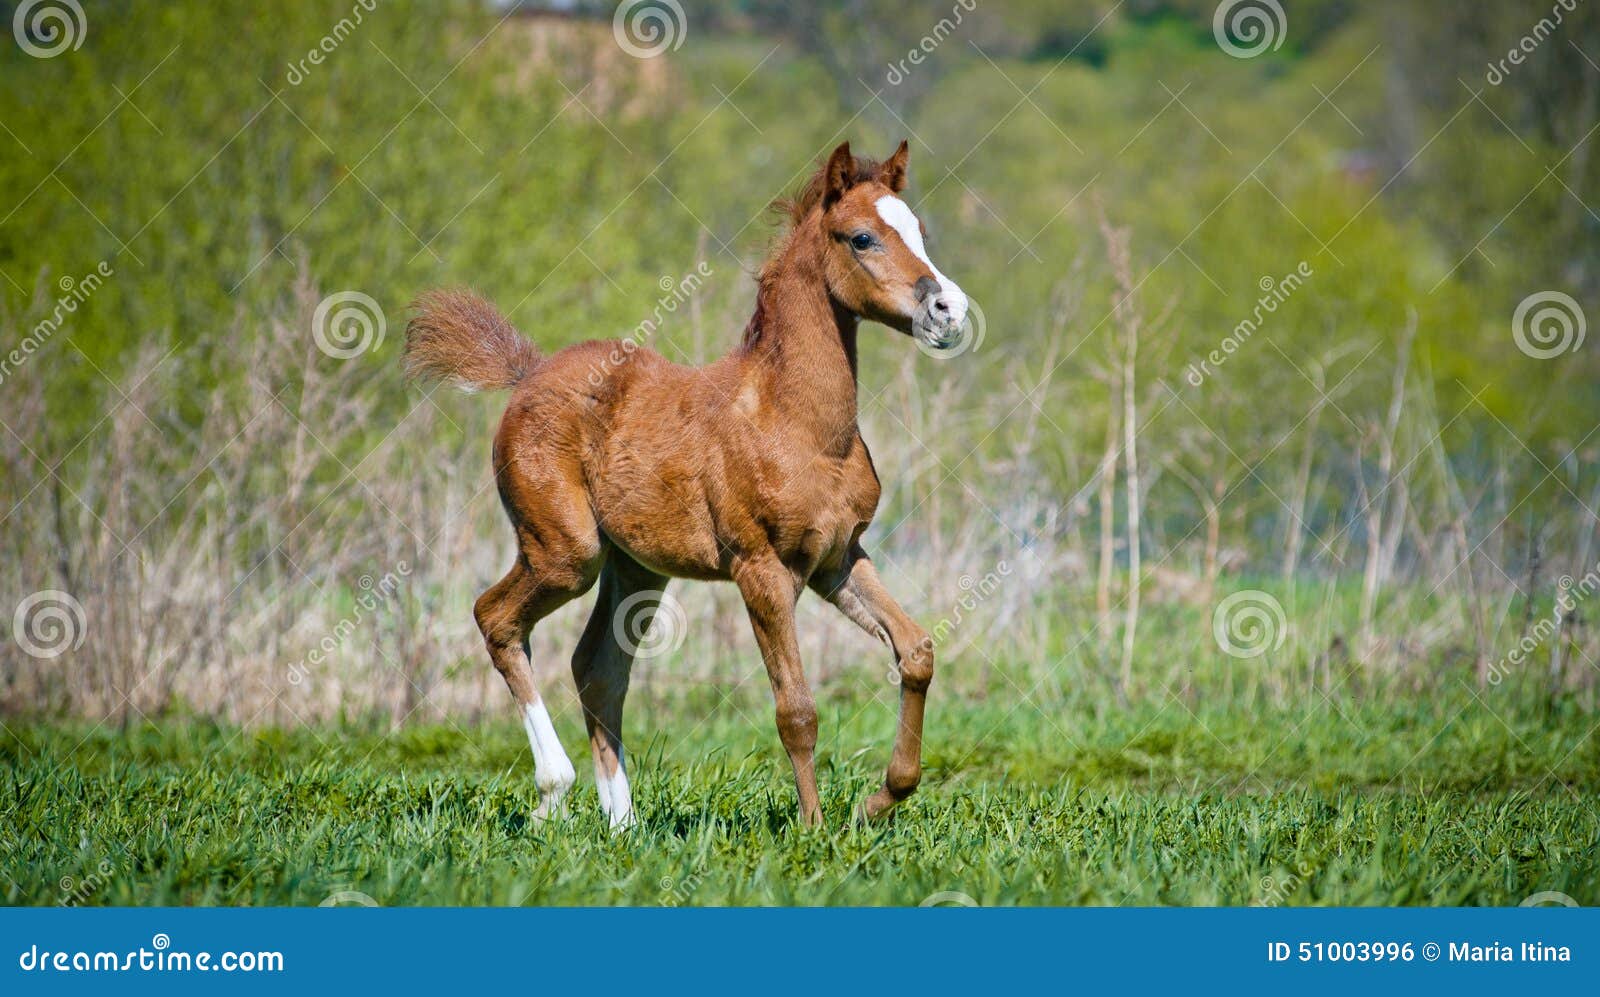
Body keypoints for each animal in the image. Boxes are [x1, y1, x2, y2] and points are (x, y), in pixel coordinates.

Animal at [403, 140, 969, 828]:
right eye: (862, 237)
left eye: (920, 230)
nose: (949, 310)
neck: (798, 422)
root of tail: (528, 373)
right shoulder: (761, 570)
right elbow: (796, 711)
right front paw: (815, 830)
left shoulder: (838, 559)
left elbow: (916, 651)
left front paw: (879, 799)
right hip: (567, 554)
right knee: (498, 618)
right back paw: (555, 790)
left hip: (636, 567)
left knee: (596, 668)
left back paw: (623, 826)